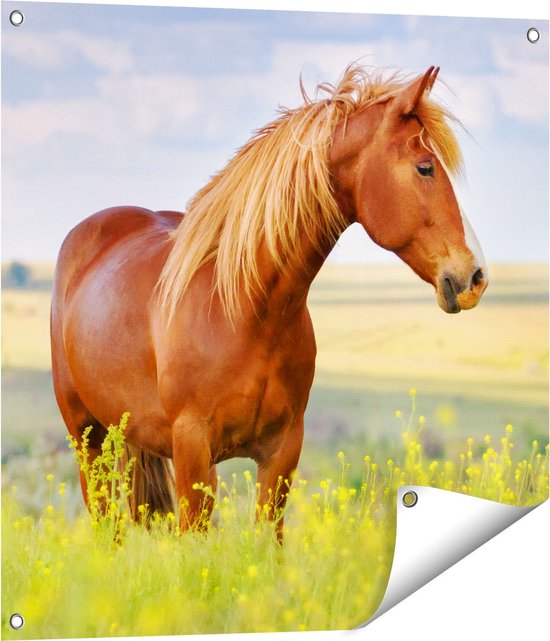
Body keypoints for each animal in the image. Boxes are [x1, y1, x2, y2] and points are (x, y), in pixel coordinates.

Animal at [51, 64, 488, 537]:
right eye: (425, 168)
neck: (245, 311)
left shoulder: (281, 454)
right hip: (89, 441)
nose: (475, 276)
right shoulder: (192, 451)